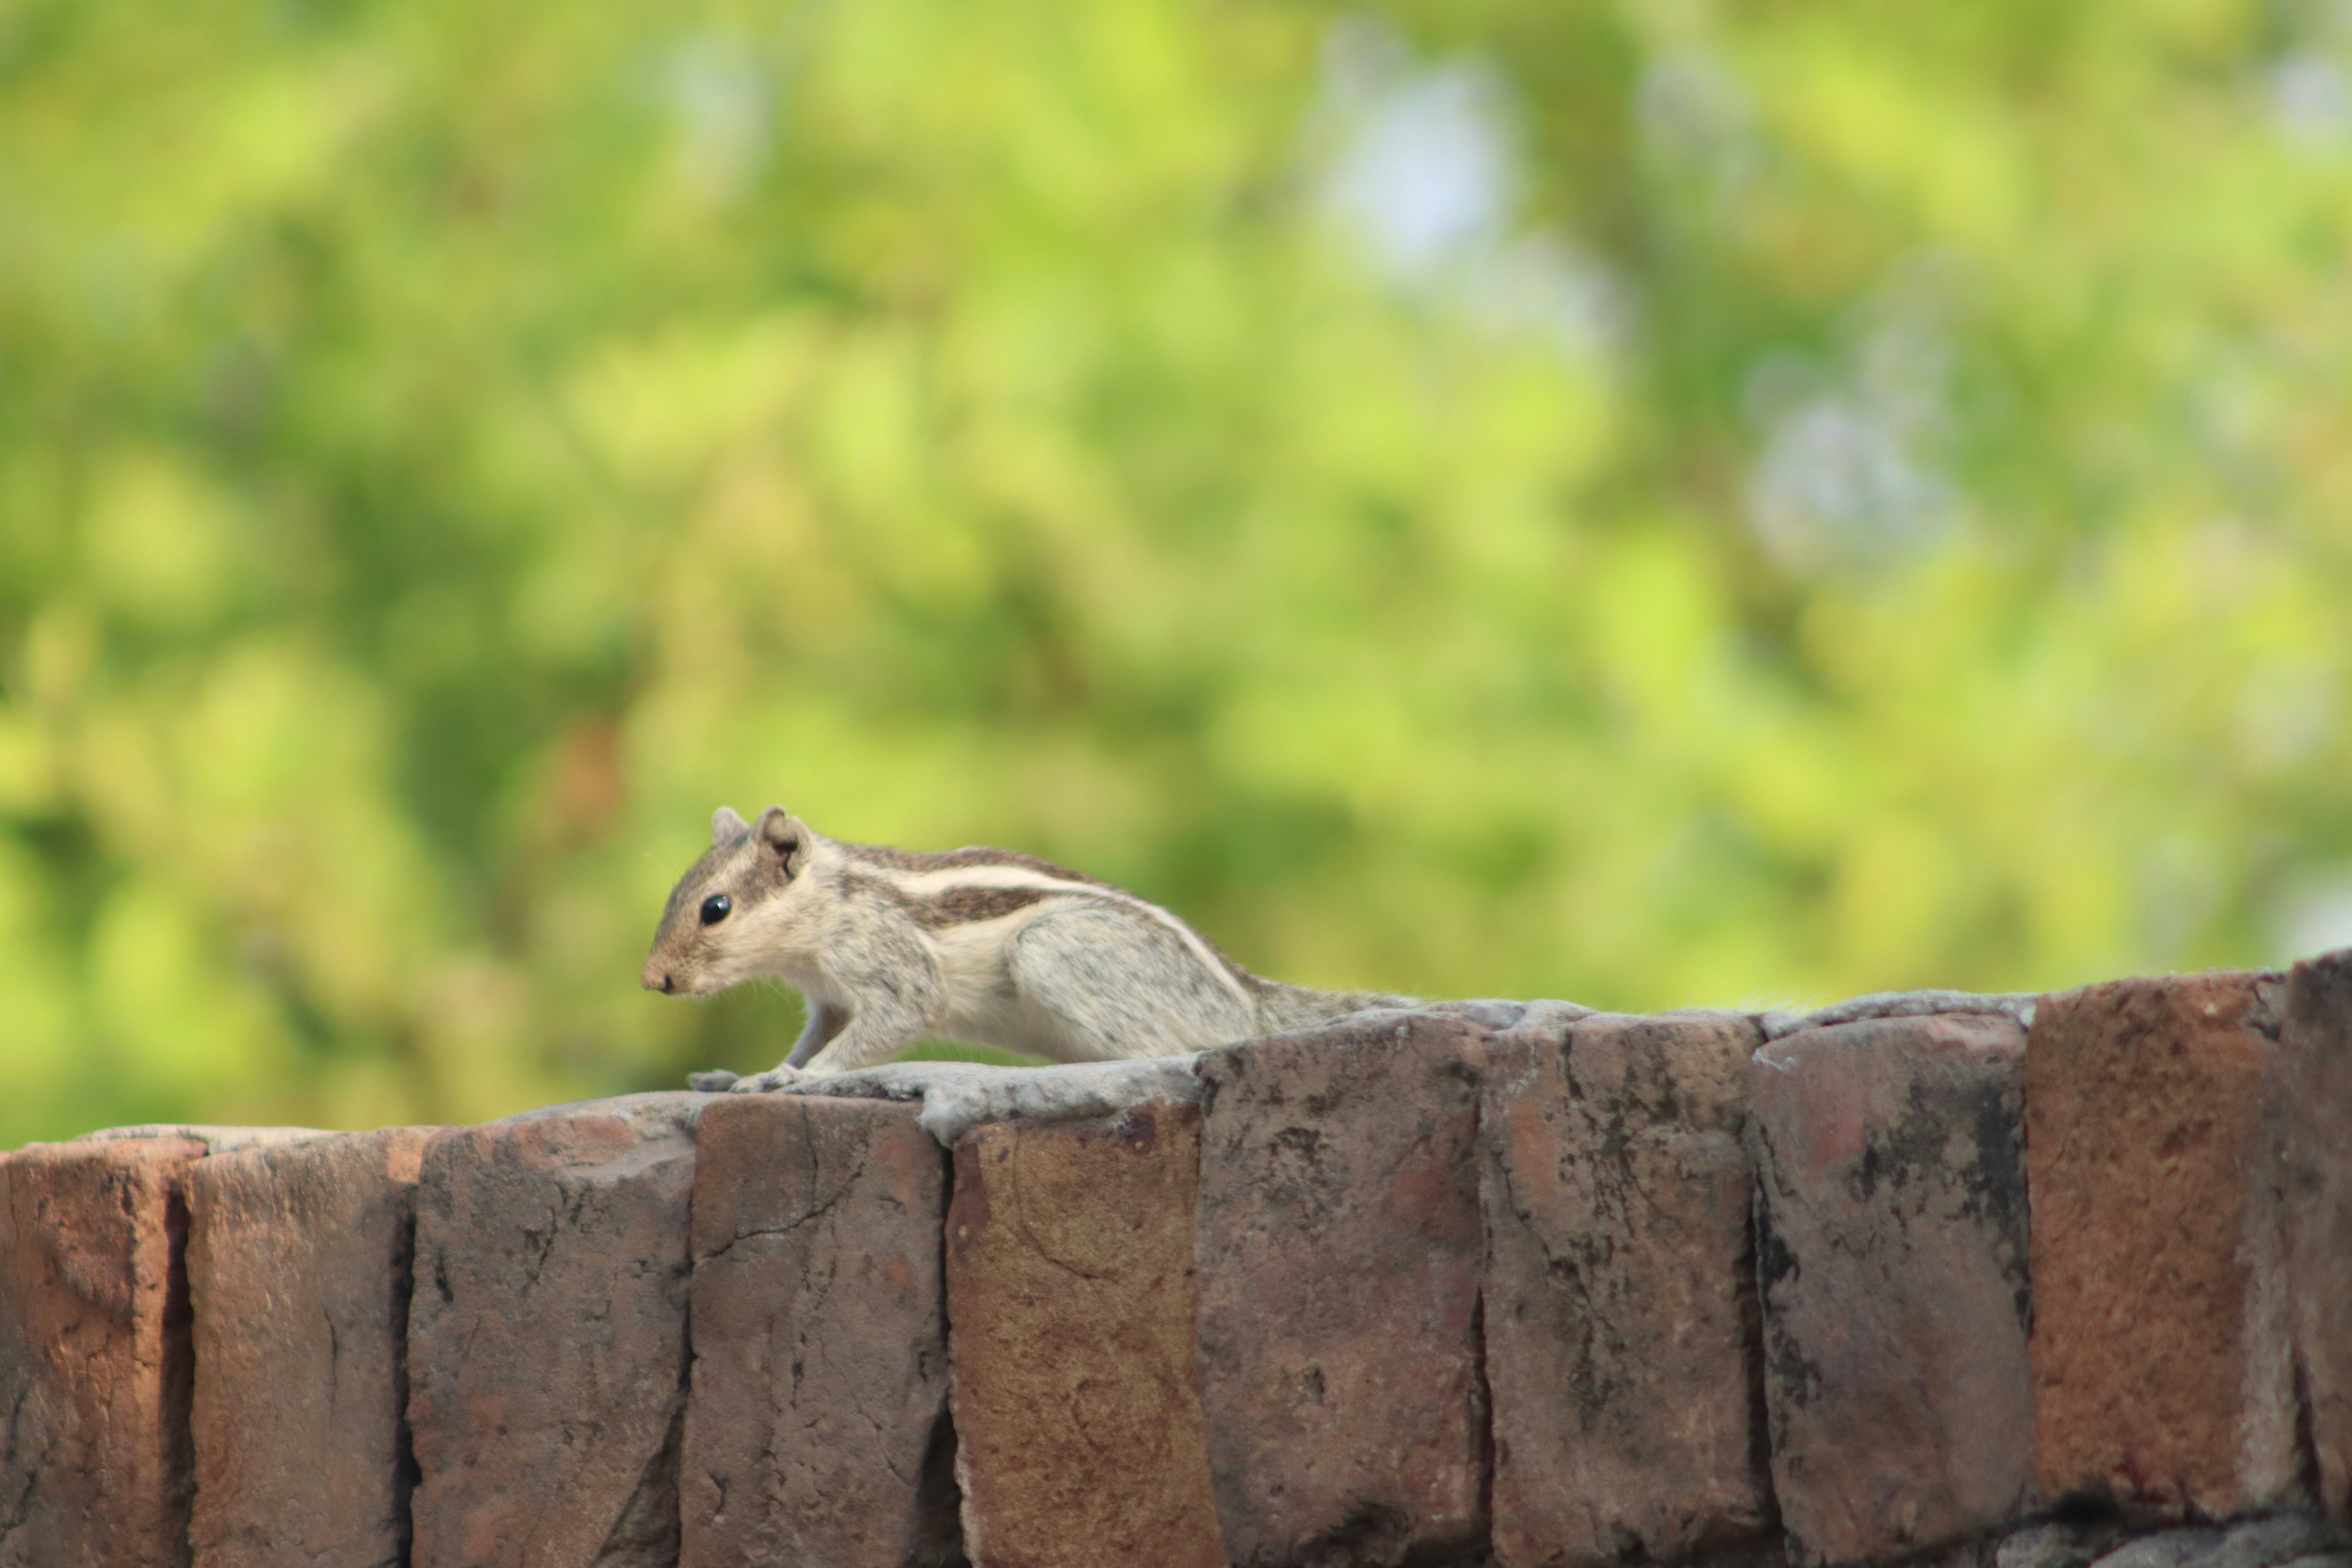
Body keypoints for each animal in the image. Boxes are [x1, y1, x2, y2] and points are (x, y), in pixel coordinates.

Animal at [642, 806, 1417, 1091]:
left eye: (716, 910)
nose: (653, 981)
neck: (829, 904)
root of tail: (1251, 1004)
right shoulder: (827, 1001)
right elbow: (815, 1039)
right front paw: (752, 1075)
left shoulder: (893, 969)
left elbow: (881, 1028)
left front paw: (794, 1080)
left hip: (1054, 950)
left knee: (1167, 1050)